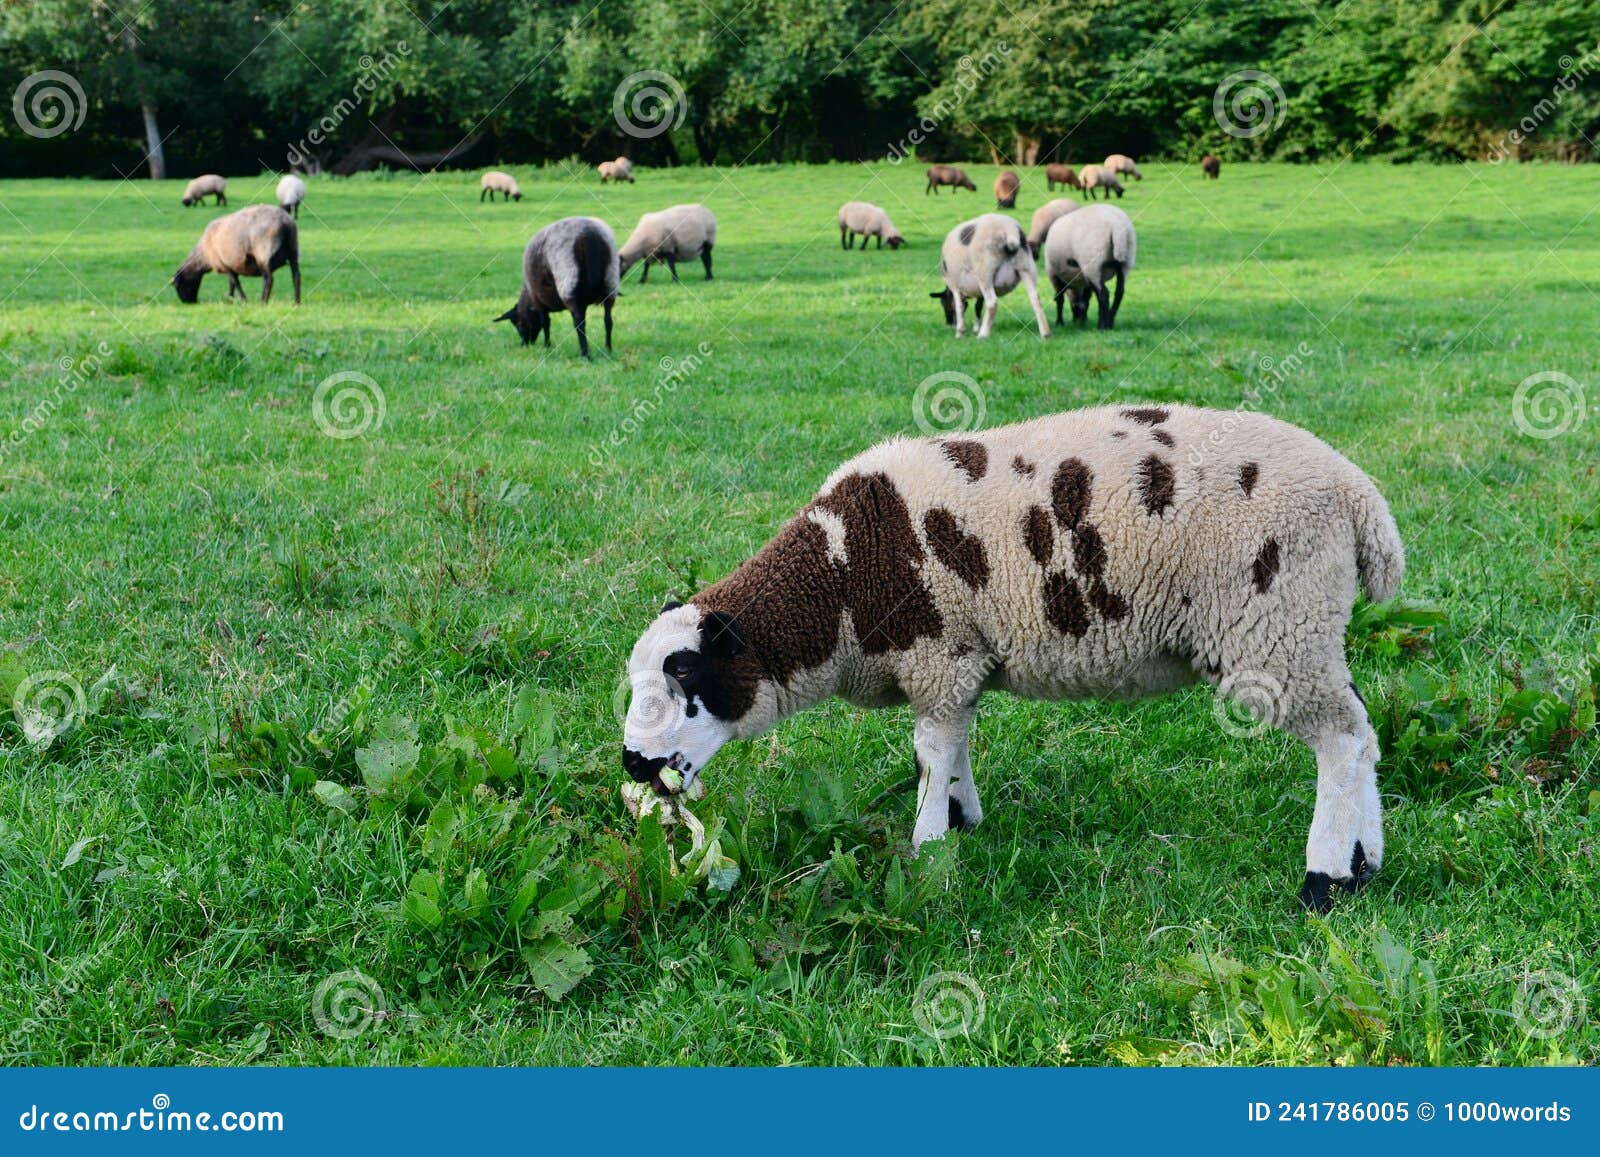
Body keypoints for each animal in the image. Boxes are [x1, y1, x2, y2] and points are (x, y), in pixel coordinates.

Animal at [171, 204, 300, 304]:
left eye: (178, 285)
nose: (188, 302)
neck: (203, 257)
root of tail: (285, 221)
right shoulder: (231, 265)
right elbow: (232, 284)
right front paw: (230, 300)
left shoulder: (225, 264)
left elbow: (235, 283)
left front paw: (243, 300)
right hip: (293, 250)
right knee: (296, 276)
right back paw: (296, 302)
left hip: (263, 253)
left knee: (269, 279)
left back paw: (263, 302)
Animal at [494, 216, 619, 358]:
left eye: (519, 324)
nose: (524, 344)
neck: (528, 296)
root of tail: (589, 234)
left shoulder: (538, 300)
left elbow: (546, 323)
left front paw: (547, 346)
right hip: (611, 281)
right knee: (608, 320)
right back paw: (608, 349)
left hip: (568, 282)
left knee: (579, 324)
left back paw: (585, 354)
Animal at [620, 403, 1405, 912]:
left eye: (686, 675)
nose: (632, 763)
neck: (839, 579)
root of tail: (1358, 496)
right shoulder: (958, 660)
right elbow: (953, 743)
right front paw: (963, 820)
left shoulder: (937, 653)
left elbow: (931, 751)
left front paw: (928, 849)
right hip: (1308, 628)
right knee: (1363, 730)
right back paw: (1366, 862)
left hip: (1277, 626)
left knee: (1340, 741)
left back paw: (1324, 881)